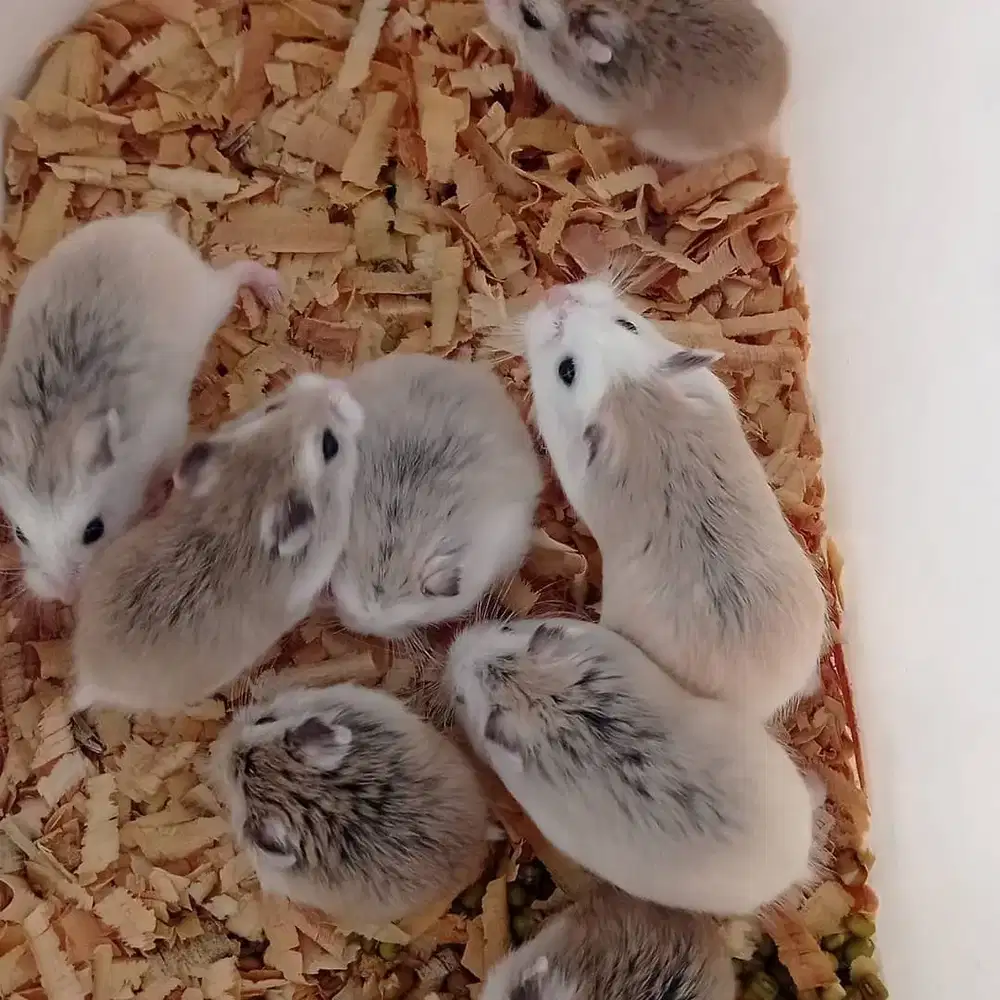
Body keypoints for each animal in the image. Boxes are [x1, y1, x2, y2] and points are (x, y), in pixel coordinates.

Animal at [0, 211, 284, 603]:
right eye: (20, 534)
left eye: (94, 530)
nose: (66, 596)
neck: (53, 430)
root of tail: (147, 224)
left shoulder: (168, 441)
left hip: (207, 297)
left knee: (237, 272)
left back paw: (273, 289)